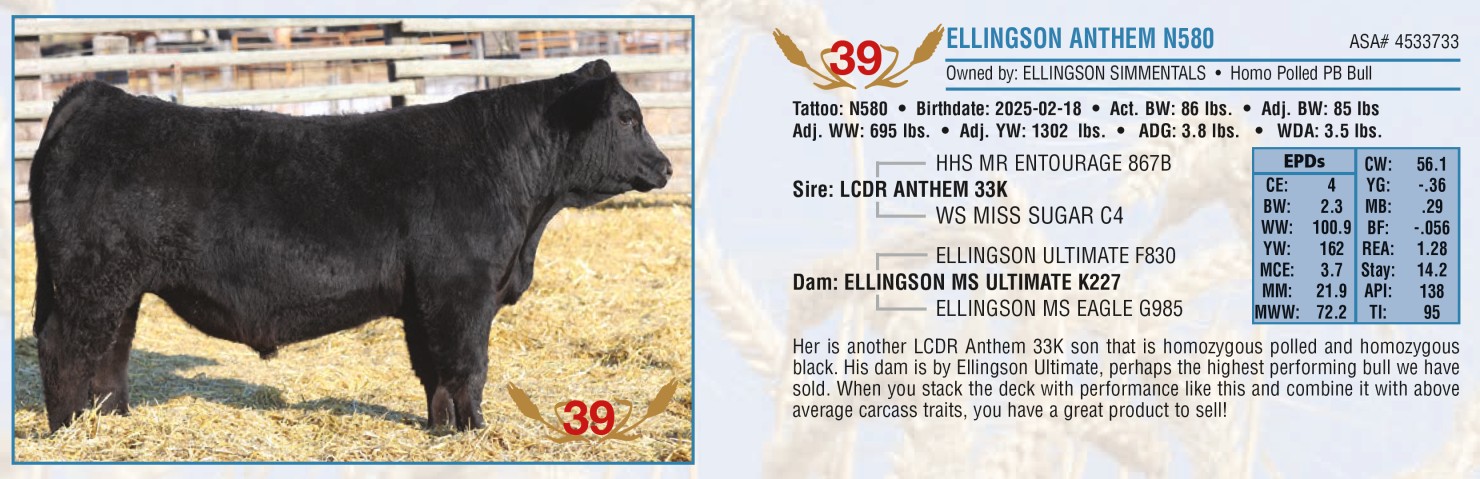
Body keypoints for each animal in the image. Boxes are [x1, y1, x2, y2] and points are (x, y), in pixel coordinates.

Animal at [29, 59, 672, 432]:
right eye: (627, 117)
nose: (666, 166)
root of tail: (94, 97)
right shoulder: (460, 292)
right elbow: (468, 365)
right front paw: (475, 428)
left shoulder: (426, 301)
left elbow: (434, 370)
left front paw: (442, 427)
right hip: (90, 278)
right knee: (66, 345)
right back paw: (69, 427)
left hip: (120, 285)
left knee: (110, 349)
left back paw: (112, 419)